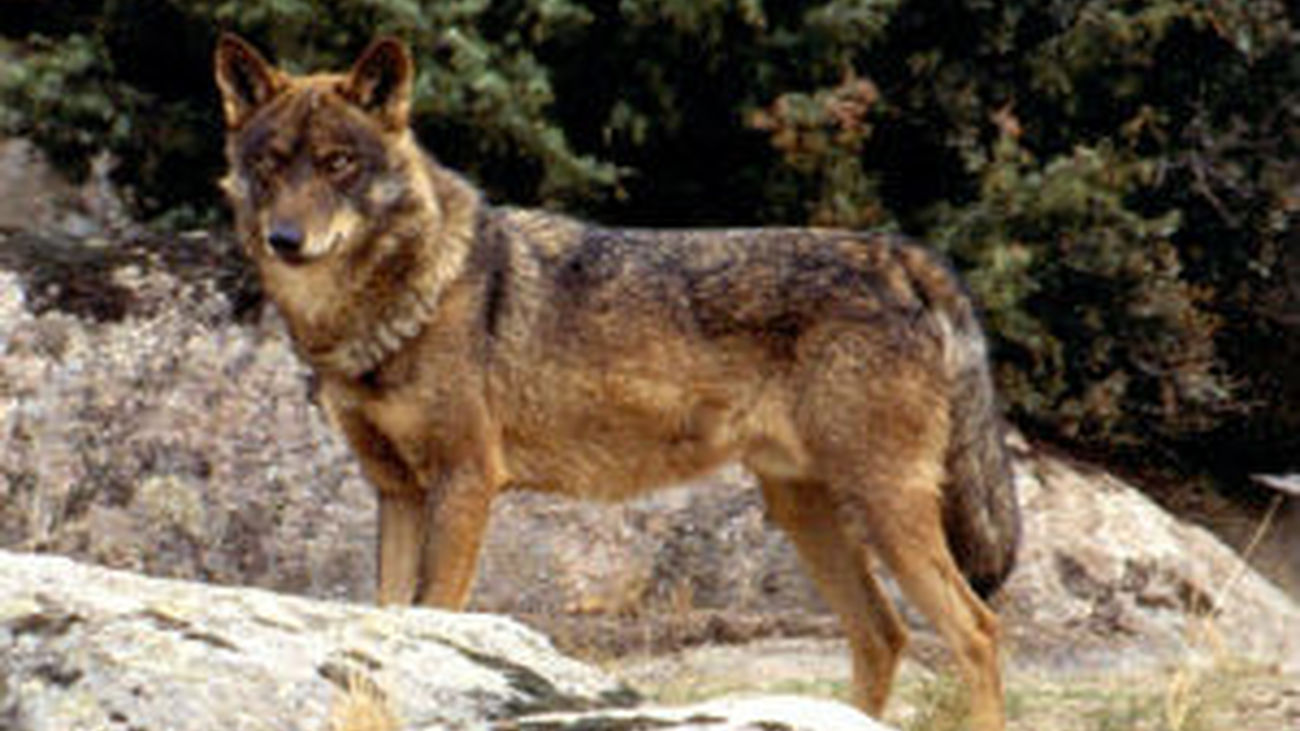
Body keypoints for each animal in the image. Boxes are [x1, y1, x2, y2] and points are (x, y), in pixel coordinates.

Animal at [215, 34, 1020, 730]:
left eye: (338, 163)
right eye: (273, 165)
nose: (286, 241)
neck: (391, 304)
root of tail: (905, 255)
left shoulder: (465, 480)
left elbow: (433, 614)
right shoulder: (396, 491)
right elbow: (387, 623)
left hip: (884, 507)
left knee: (978, 630)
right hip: (807, 510)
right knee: (883, 634)